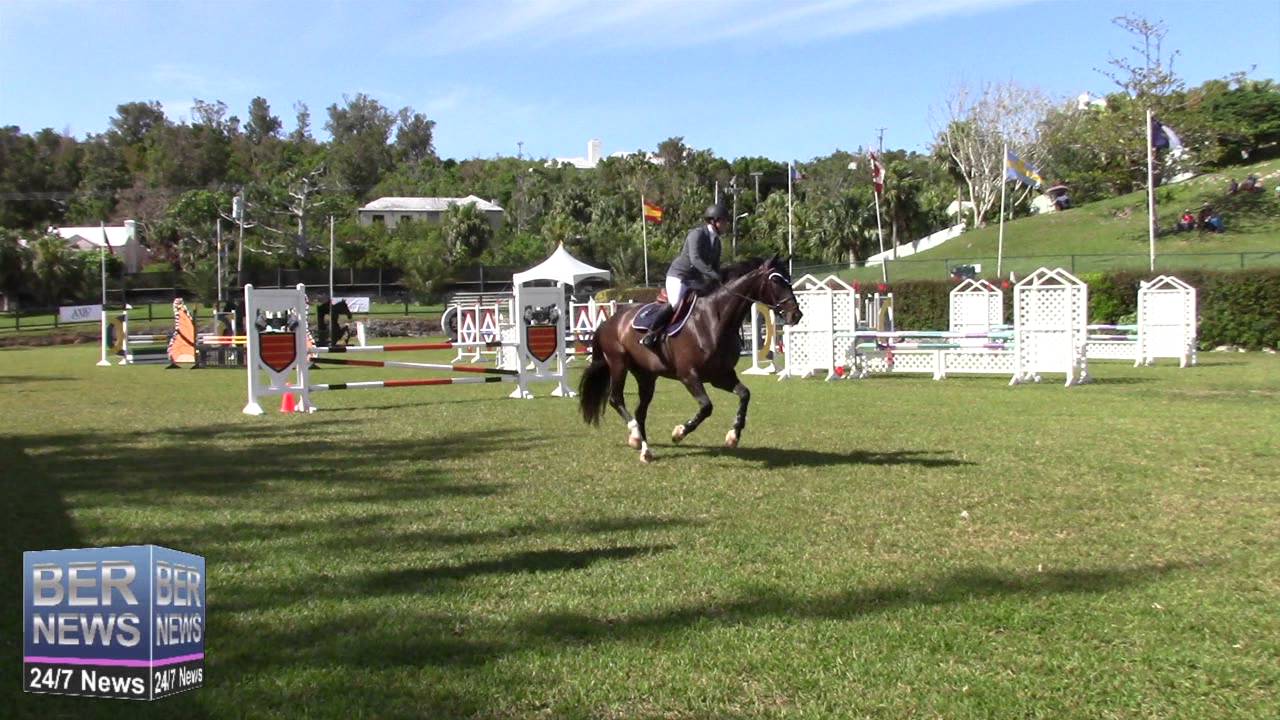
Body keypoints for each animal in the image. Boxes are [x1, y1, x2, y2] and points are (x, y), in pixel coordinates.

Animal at [578, 256, 803, 463]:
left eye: (789, 279)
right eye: (776, 281)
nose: (796, 315)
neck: (714, 319)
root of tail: (609, 321)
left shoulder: (721, 376)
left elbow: (745, 395)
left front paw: (733, 435)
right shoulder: (689, 376)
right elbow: (706, 407)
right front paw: (679, 432)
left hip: (646, 375)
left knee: (640, 411)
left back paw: (644, 449)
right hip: (618, 363)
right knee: (616, 399)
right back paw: (635, 435)